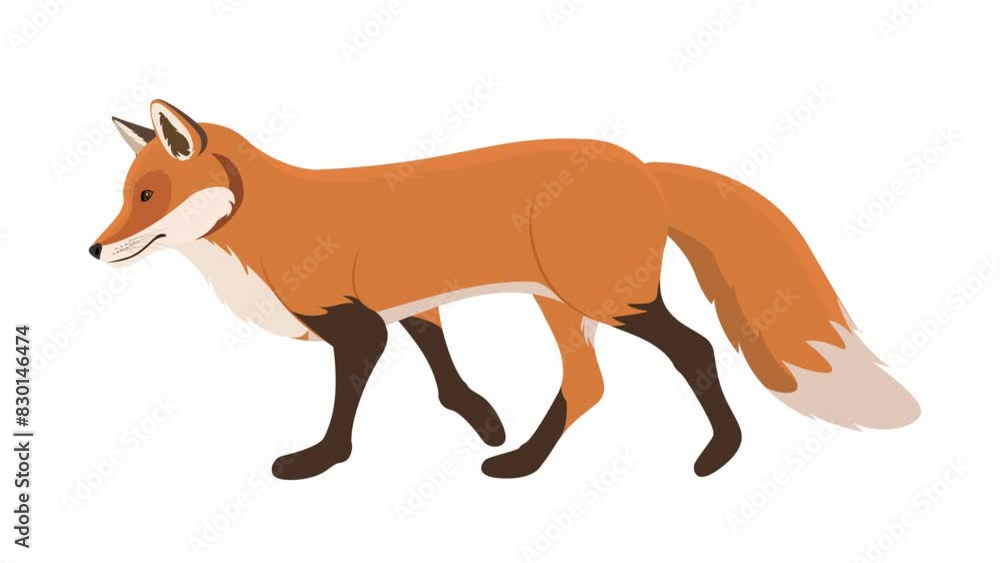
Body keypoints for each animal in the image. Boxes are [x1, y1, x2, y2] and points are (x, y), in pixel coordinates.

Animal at [91, 99, 920, 481]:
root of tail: (644, 165)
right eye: (128, 192)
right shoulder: (407, 305)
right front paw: (485, 421)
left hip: (608, 300)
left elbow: (349, 402)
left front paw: (321, 458)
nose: (94, 248)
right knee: (586, 387)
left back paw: (721, 450)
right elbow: (444, 370)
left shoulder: (357, 324)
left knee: (694, 348)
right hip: (562, 305)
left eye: (150, 195)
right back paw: (521, 460)